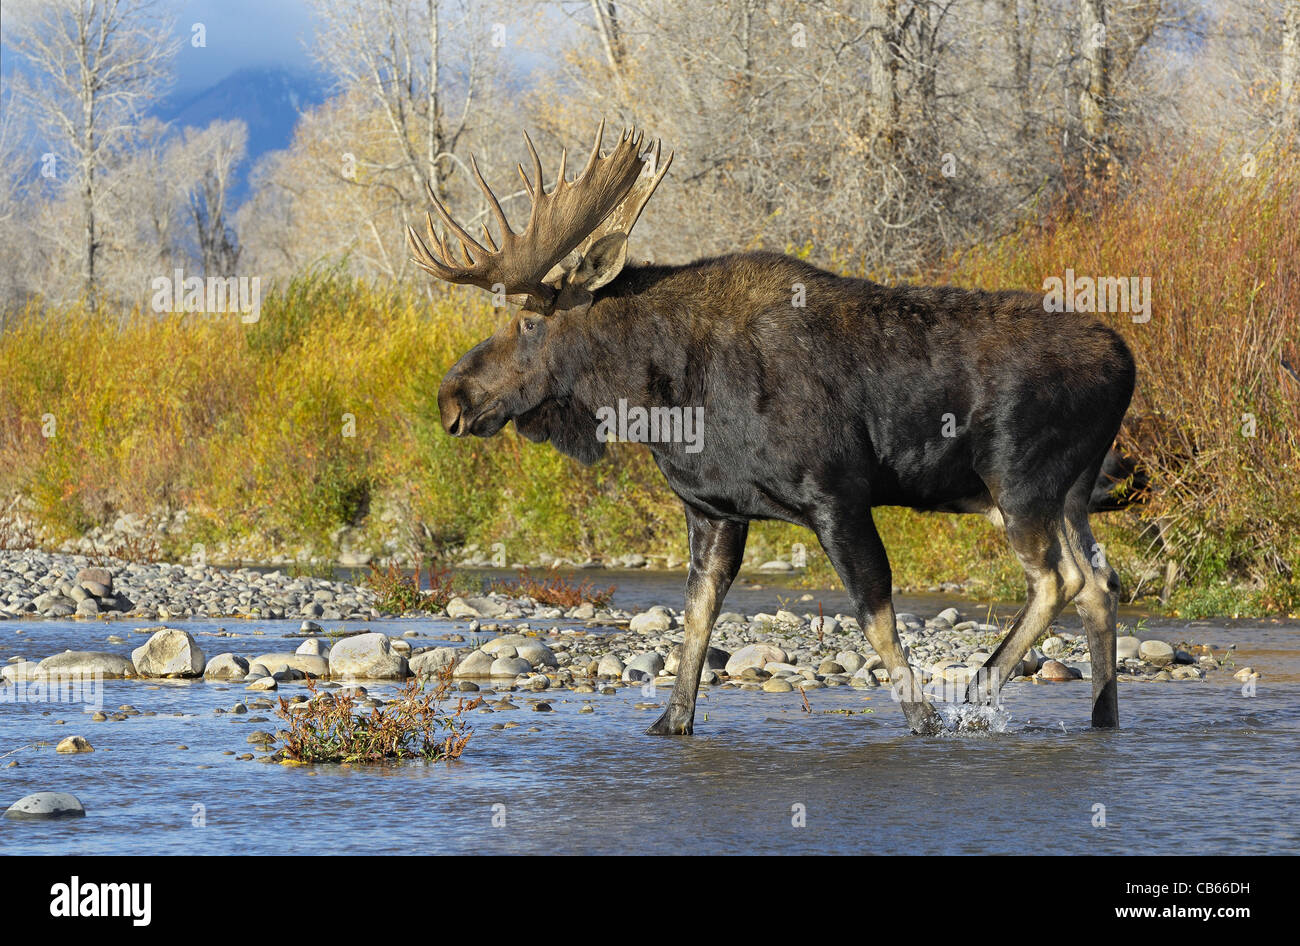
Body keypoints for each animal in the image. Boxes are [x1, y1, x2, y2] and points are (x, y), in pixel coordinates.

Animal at [409, 123, 1136, 736]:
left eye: (529, 321)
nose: (452, 397)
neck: (662, 396)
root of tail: (1127, 361)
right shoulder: (714, 511)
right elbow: (696, 619)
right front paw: (671, 721)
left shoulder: (836, 496)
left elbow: (875, 614)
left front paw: (925, 720)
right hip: (1068, 494)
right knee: (1099, 585)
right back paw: (1101, 716)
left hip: (1018, 482)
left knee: (1059, 581)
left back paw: (976, 694)